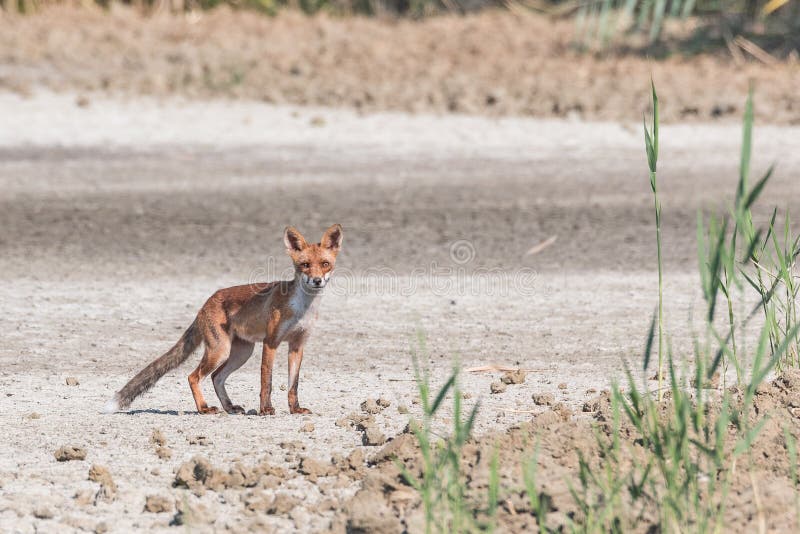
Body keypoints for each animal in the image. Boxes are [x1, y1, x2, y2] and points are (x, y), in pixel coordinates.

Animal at [104, 224, 343, 415]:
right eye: (305, 265)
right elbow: (267, 381)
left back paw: (229, 407)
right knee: (194, 377)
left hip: (240, 352)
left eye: (325, 264)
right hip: (220, 351)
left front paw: (295, 409)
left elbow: (293, 384)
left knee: (216, 378)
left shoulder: (297, 345)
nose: (317, 281)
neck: (302, 308)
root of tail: (206, 302)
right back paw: (204, 408)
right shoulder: (271, 342)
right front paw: (266, 409)